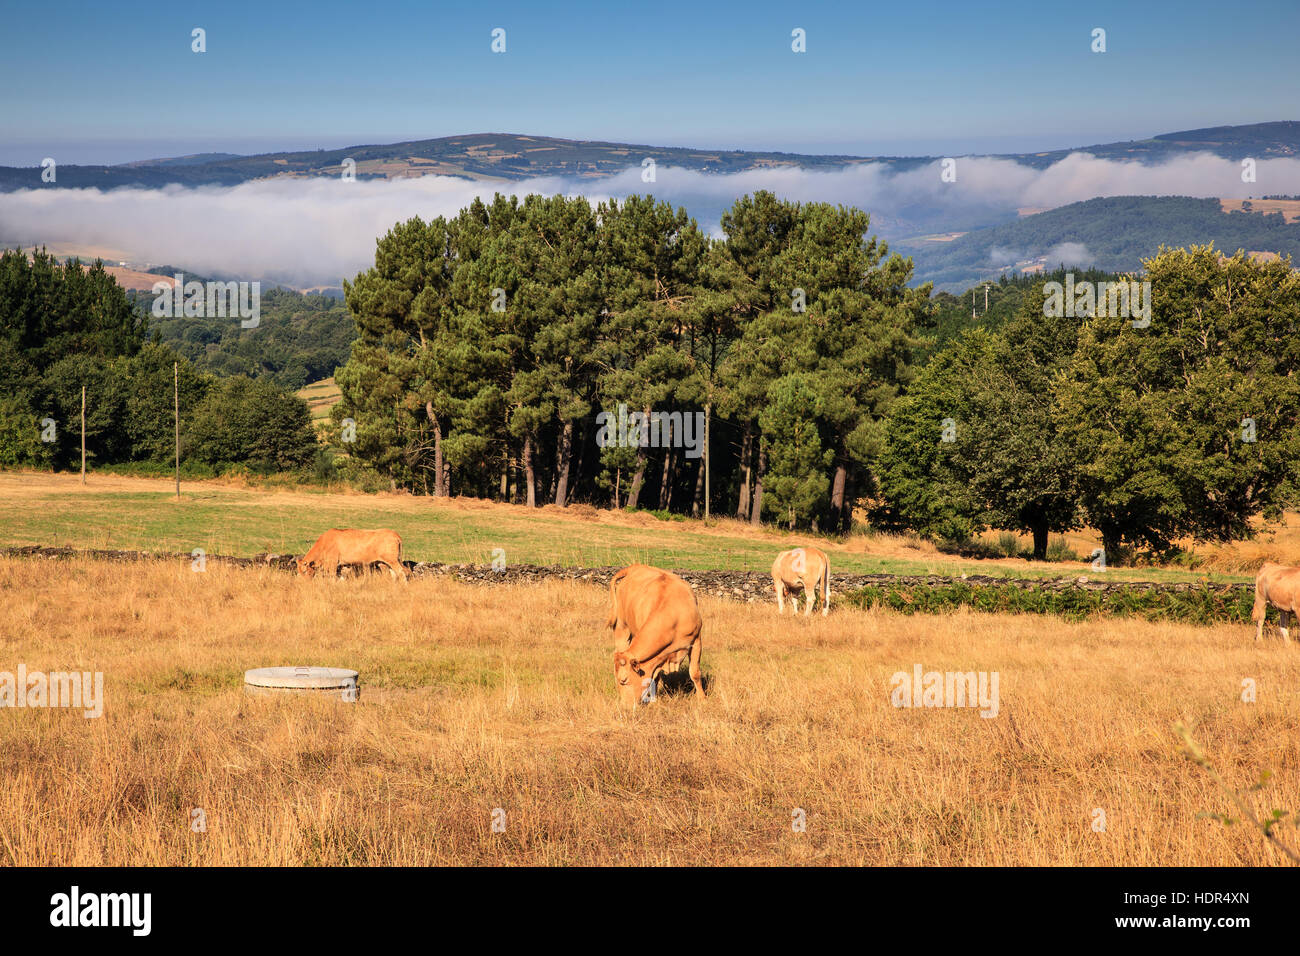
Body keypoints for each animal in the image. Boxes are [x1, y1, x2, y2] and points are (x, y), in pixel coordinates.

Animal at [607, 564, 705, 707]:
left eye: (624, 680)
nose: (624, 706)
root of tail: (635, 567)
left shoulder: (696, 641)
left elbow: (695, 673)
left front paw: (702, 699)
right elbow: (654, 677)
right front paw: (654, 700)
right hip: (621, 627)